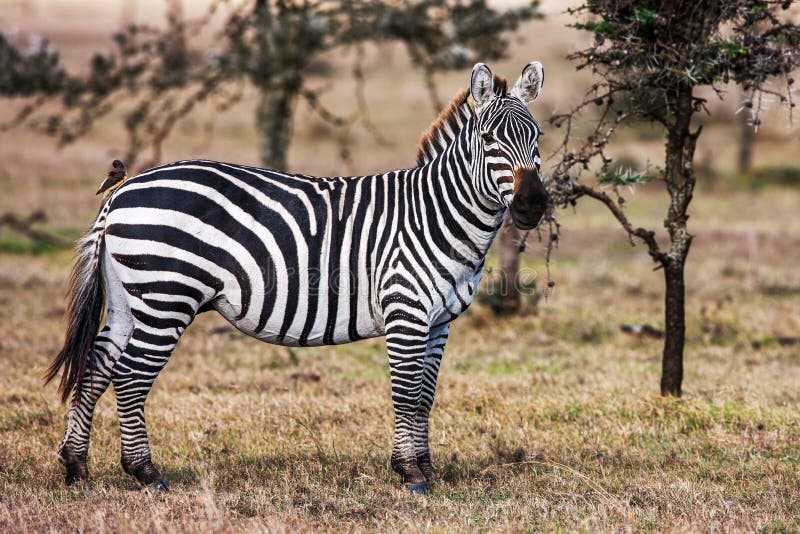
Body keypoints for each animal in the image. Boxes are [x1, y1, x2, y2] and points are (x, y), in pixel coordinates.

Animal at [45, 62, 549, 495]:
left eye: (538, 136)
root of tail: (122, 191)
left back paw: (76, 467)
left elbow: (425, 395)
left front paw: (426, 468)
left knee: (96, 364)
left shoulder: (439, 321)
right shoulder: (405, 311)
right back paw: (145, 473)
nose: (531, 206)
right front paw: (411, 474)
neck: (436, 215)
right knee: (130, 375)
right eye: (489, 138)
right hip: (166, 296)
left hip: (132, 298)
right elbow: (406, 394)